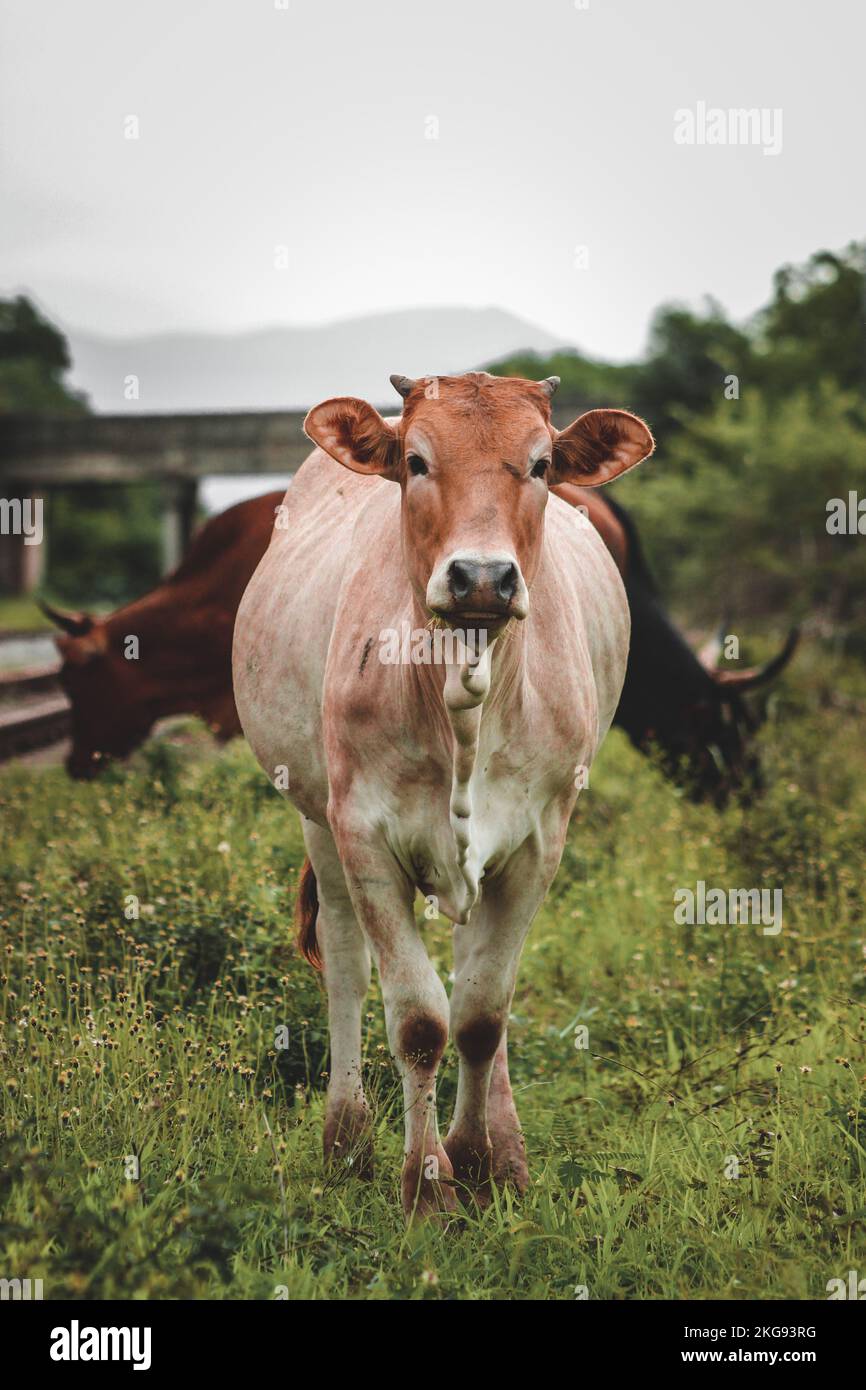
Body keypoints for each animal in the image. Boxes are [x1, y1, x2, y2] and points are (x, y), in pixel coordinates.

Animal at [232, 370, 656, 1220]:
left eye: (540, 464)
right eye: (418, 461)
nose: (483, 578)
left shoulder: (538, 844)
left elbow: (482, 1016)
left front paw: (480, 1160)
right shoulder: (362, 836)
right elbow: (421, 1022)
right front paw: (426, 1183)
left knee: (475, 981)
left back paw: (506, 1145)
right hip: (316, 821)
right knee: (347, 963)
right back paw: (347, 1138)